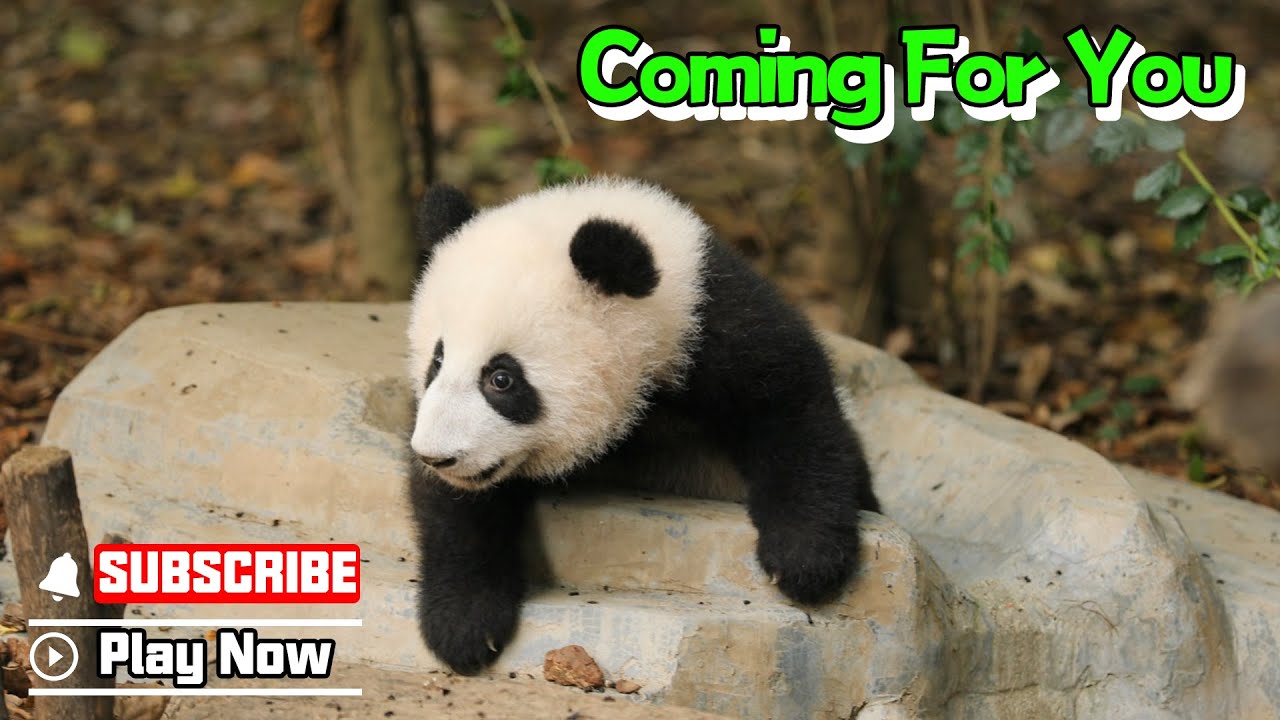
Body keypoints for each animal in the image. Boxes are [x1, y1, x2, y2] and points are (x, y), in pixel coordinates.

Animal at [406, 177, 880, 675]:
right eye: (436, 361)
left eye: (501, 378)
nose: (437, 455)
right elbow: (455, 509)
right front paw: (463, 623)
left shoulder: (716, 329)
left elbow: (795, 415)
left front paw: (806, 560)